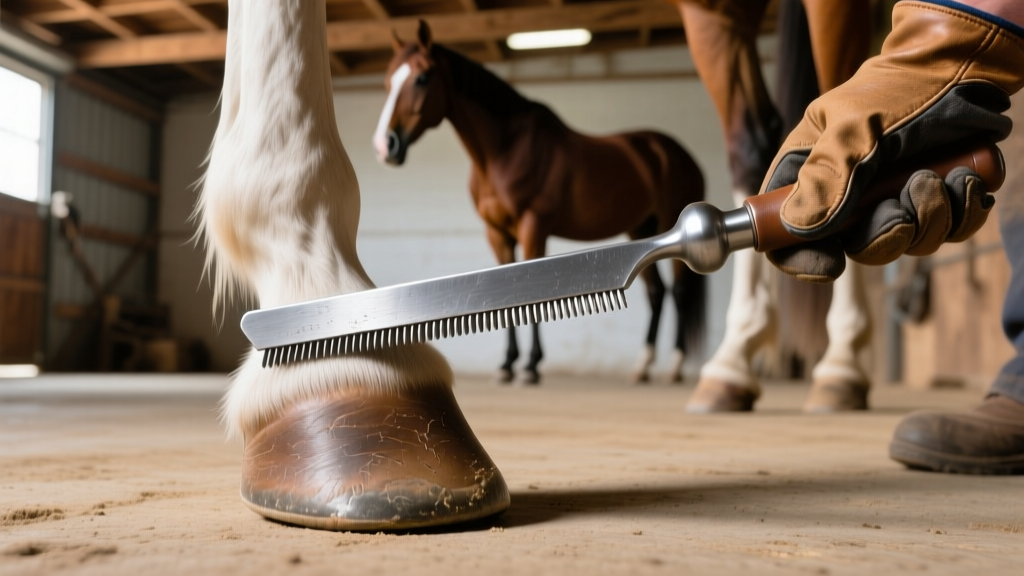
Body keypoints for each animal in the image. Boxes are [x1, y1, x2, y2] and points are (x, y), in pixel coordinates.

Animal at [374, 21, 706, 385]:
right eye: (388, 81)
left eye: (422, 78)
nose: (385, 145)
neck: (503, 152)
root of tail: (677, 154)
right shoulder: (497, 233)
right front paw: (508, 364)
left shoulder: (533, 227)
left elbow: (530, 292)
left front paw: (532, 366)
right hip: (639, 229)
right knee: (657, 292)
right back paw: (642, 367)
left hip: (670, 223)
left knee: (680, 292)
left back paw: (674, 367)